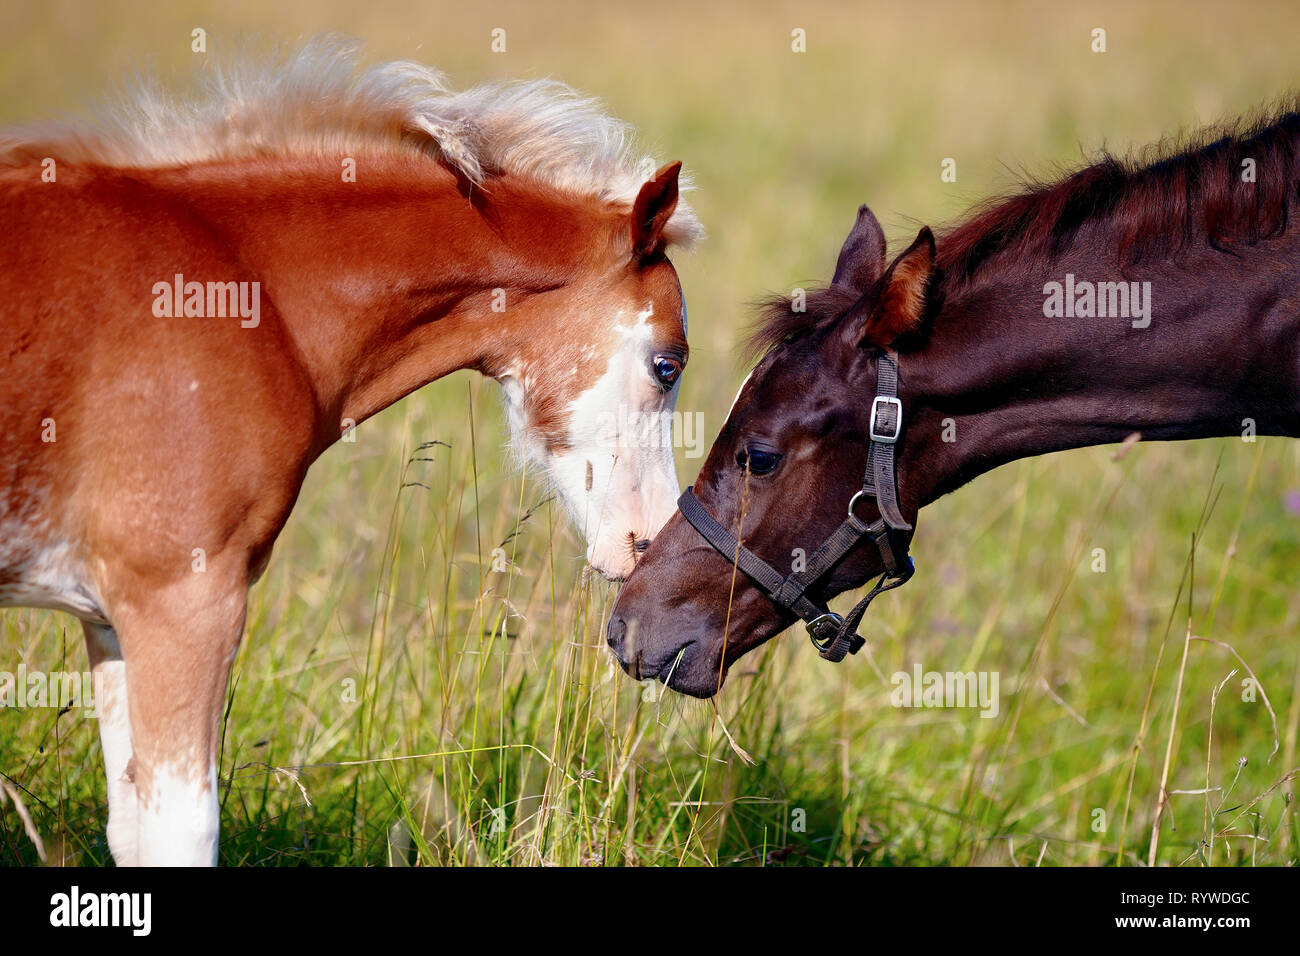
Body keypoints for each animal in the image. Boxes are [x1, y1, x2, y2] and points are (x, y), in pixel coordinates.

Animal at [0, 39, 701, 865]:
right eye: (668, 364)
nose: (647, 540)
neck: (251, 287)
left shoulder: (106, 615)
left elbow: (132, 826)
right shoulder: (181, 596)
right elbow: (185, 827)